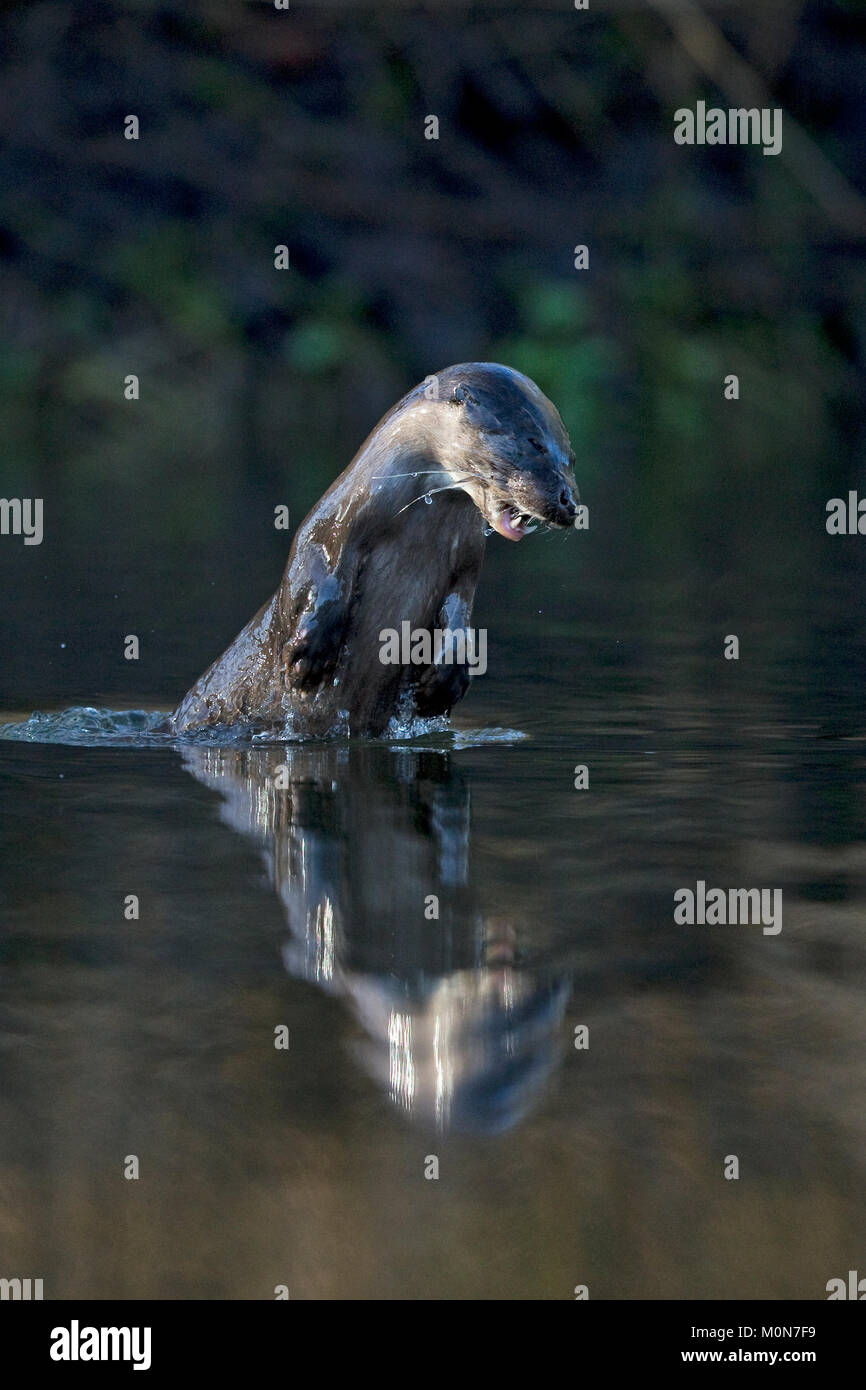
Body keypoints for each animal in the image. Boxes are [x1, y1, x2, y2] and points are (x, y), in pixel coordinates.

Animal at [170, 363, 578, 738]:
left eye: (570, 457)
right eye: (534, 442)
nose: (570, 503)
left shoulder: (467, 563)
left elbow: (461, 615)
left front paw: (446, 681)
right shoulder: (330, 527)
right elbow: (317, 575)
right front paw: (308, 654)